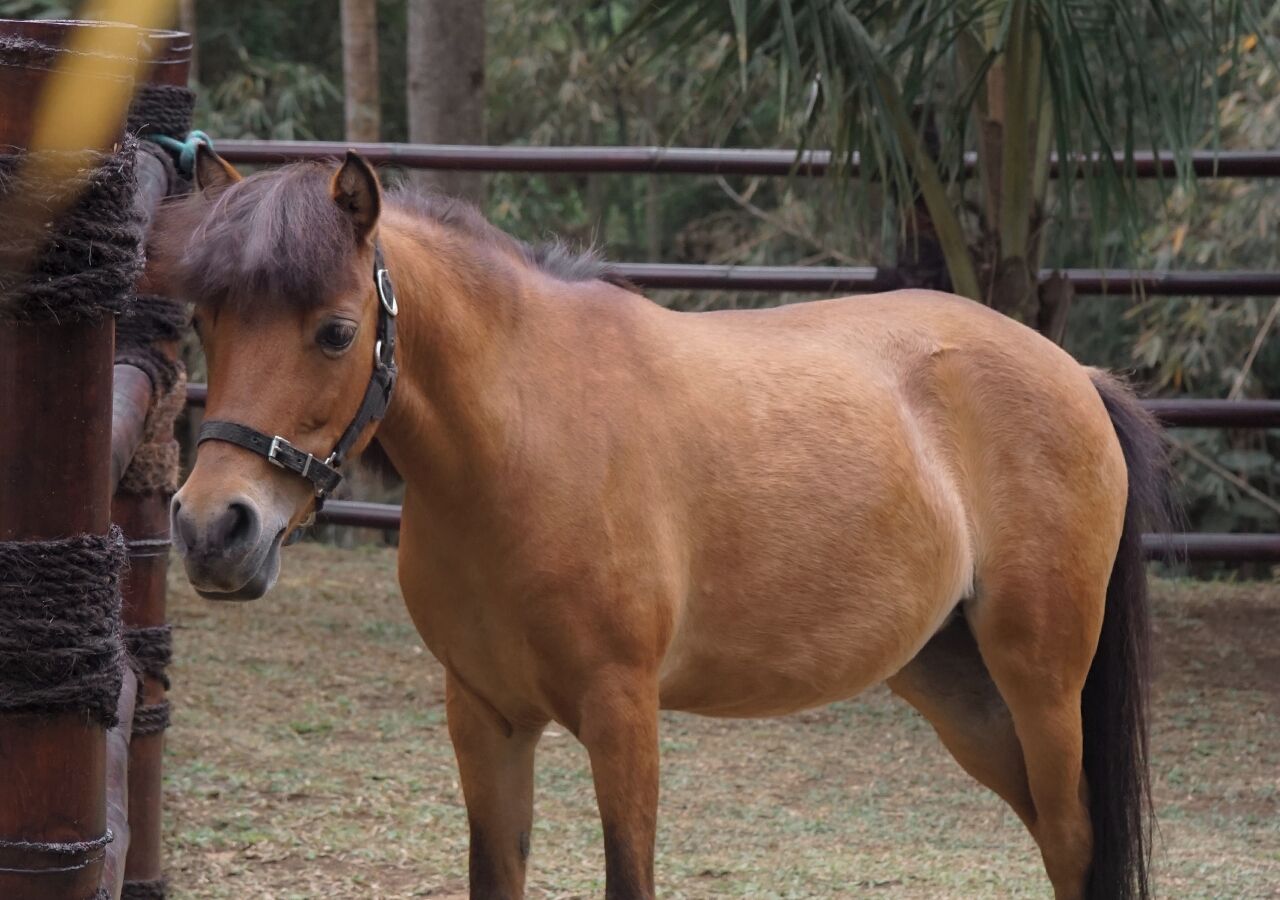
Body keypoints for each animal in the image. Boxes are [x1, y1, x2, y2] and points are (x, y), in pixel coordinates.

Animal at [155, 146, 1171, 900]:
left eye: (334, 332)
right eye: (207, 321)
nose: (214, 530)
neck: (523, 441)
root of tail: (1077, 375)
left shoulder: (622, 715)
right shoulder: (484, 718)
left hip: (1041, 686)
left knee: (1075, 842)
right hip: (961, 690)